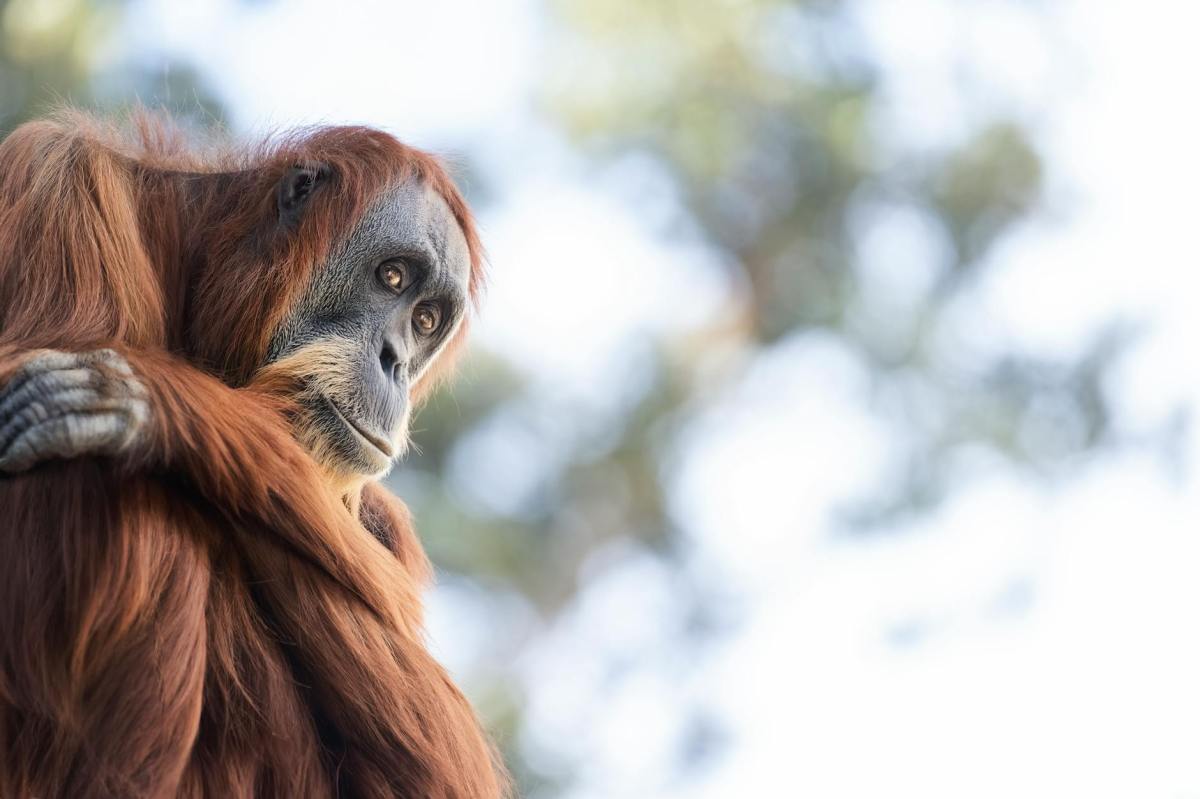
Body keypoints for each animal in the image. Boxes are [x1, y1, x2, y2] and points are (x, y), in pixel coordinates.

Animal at [0, 112, 508, 798]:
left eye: (426, 321)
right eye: (393, 277)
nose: (396, 362)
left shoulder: (382, 518)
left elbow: (443, 766)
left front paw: (154, 402)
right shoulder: (60, 181)